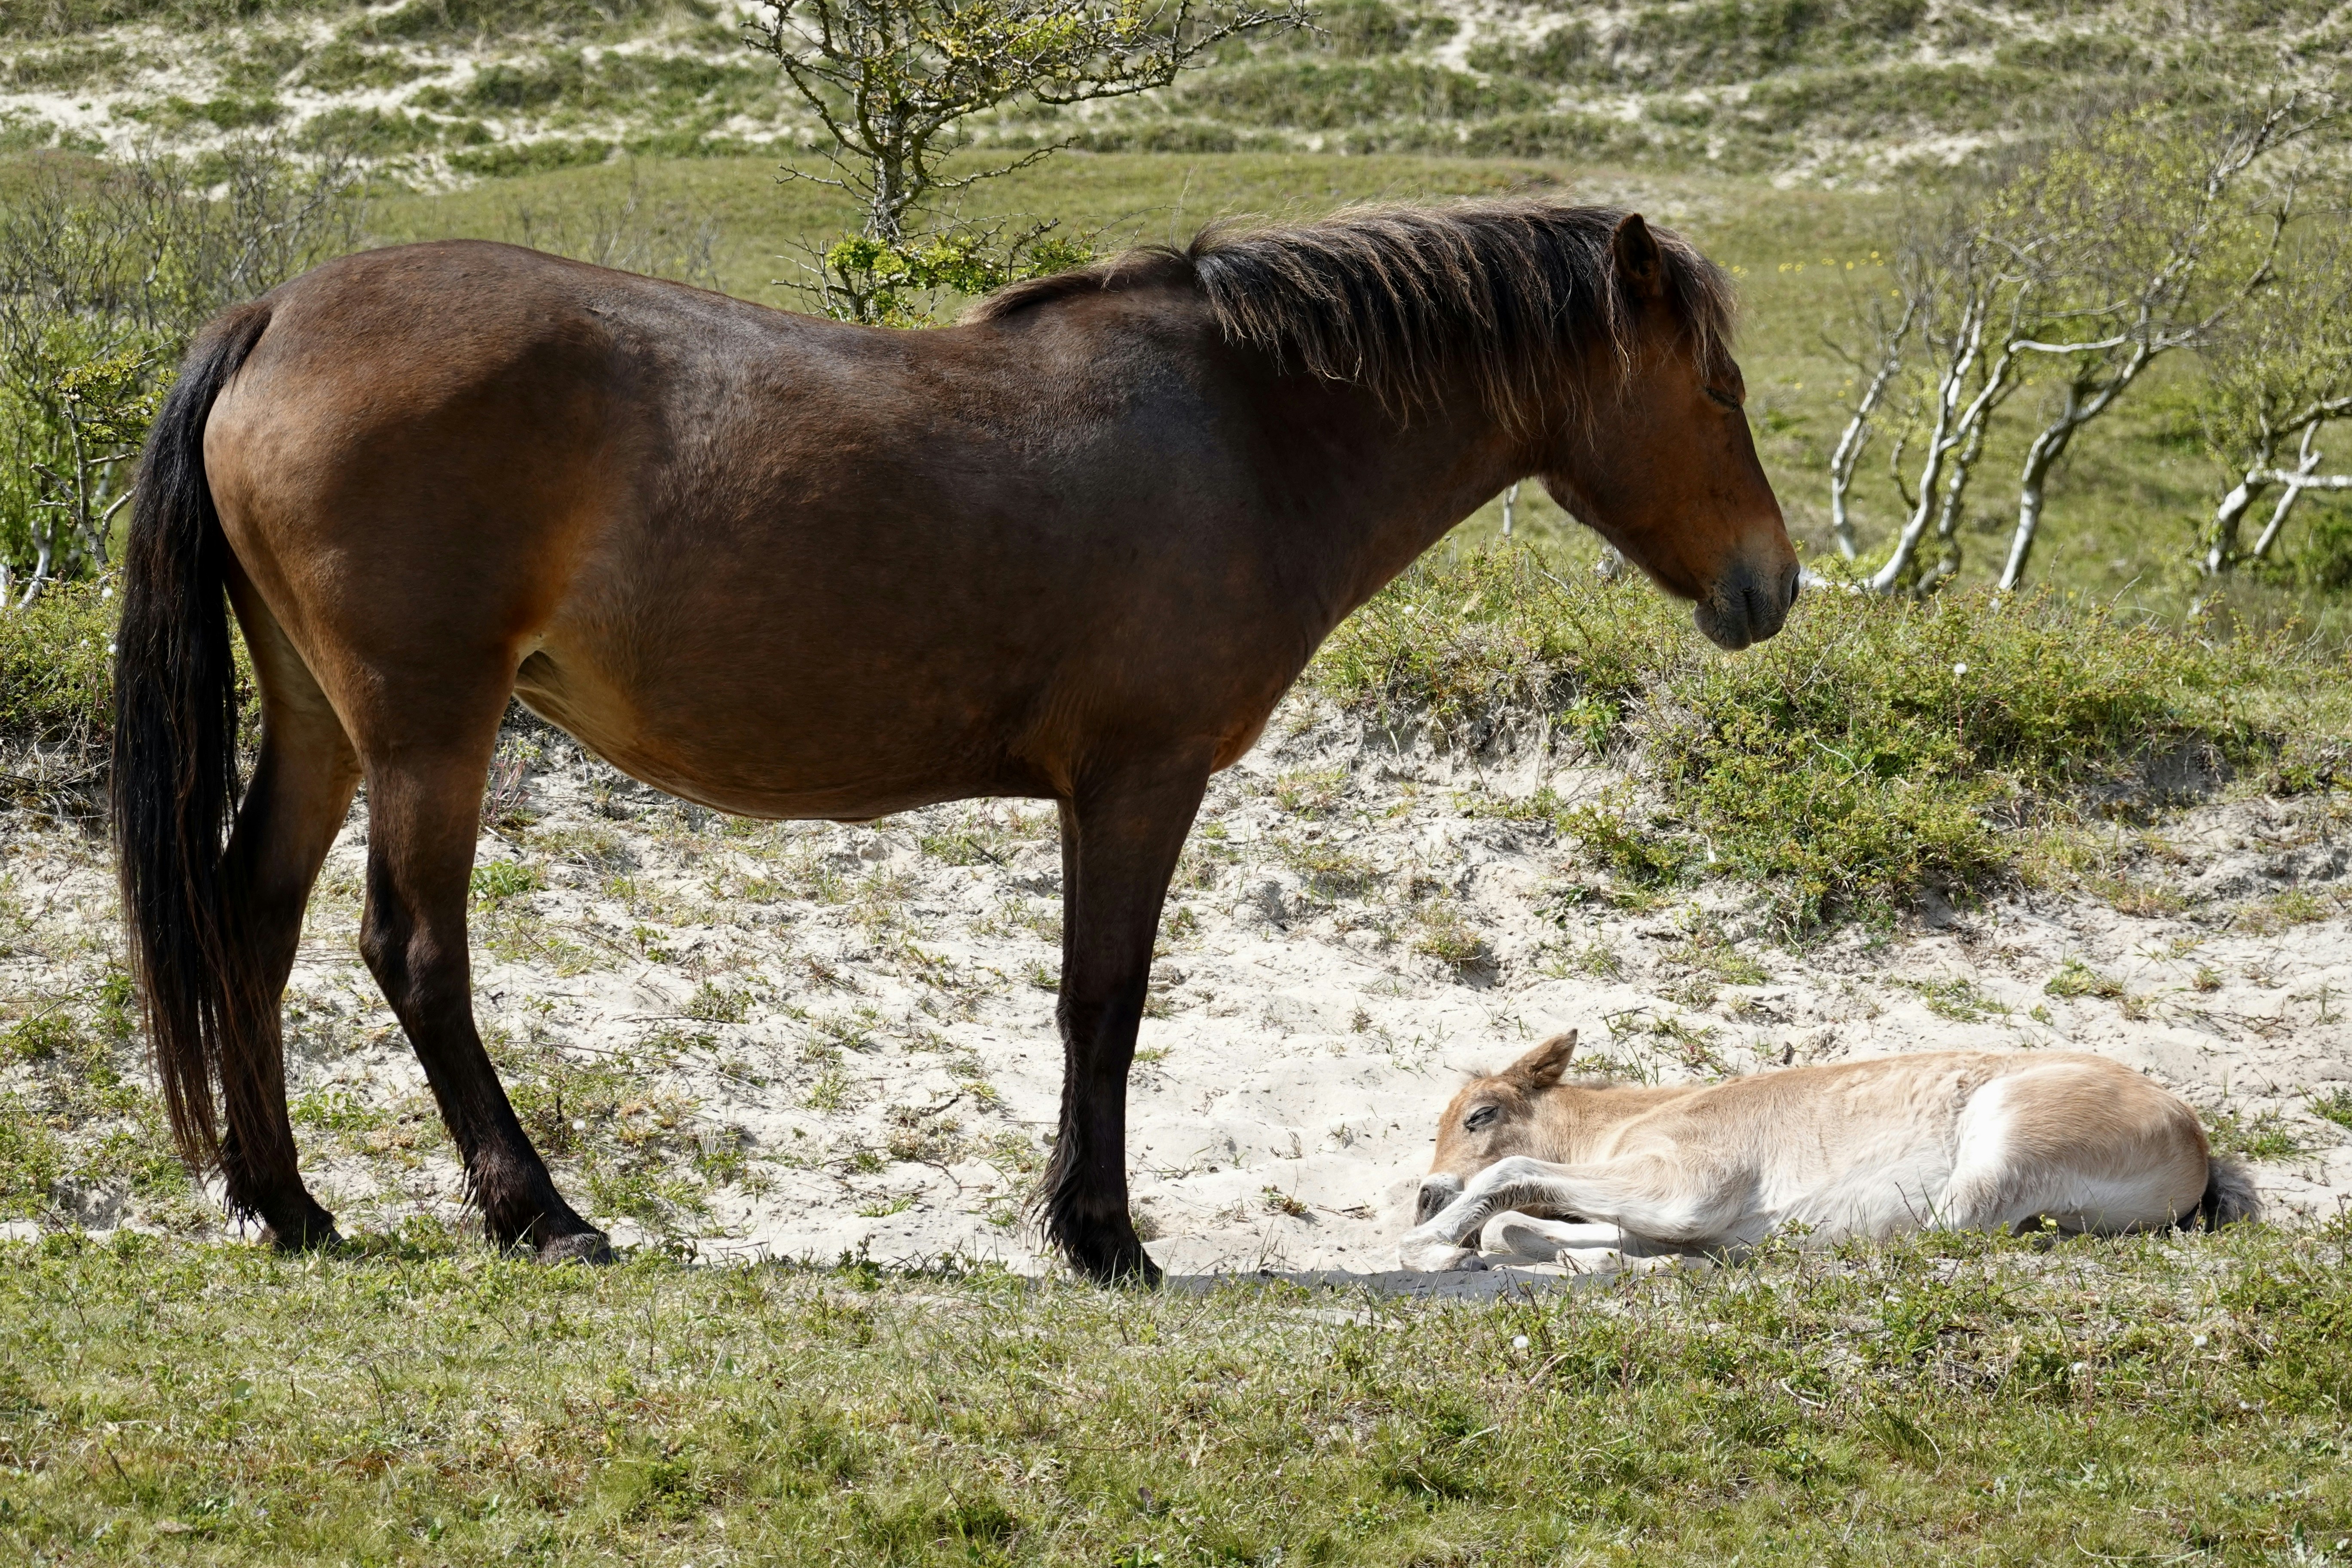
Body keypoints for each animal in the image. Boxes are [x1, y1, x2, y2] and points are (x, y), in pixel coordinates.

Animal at [111, 199, 1796, 1284]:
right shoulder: (1138, 781)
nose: (1770, 587)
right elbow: (1105, 1001)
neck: (1245, 430)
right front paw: (1102, 1232)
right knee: (411, 951)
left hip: (324, 720)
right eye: (1718, 385)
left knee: (249, 924)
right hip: (428, 728)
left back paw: (287, 1201)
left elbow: (1087, 1003)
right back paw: (539, 1213)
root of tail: (278, 316)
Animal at [1398, 1032, 2260, 1273]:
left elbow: (1513, 1177)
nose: (1426, 1193)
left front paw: (1429, 1244)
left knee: (1938, 1232)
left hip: (2002, 1139)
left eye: (1479, 1114)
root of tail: (2192, 1134)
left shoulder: (1688, 1182)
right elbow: (1522, 1227)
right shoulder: (1662, 1207)